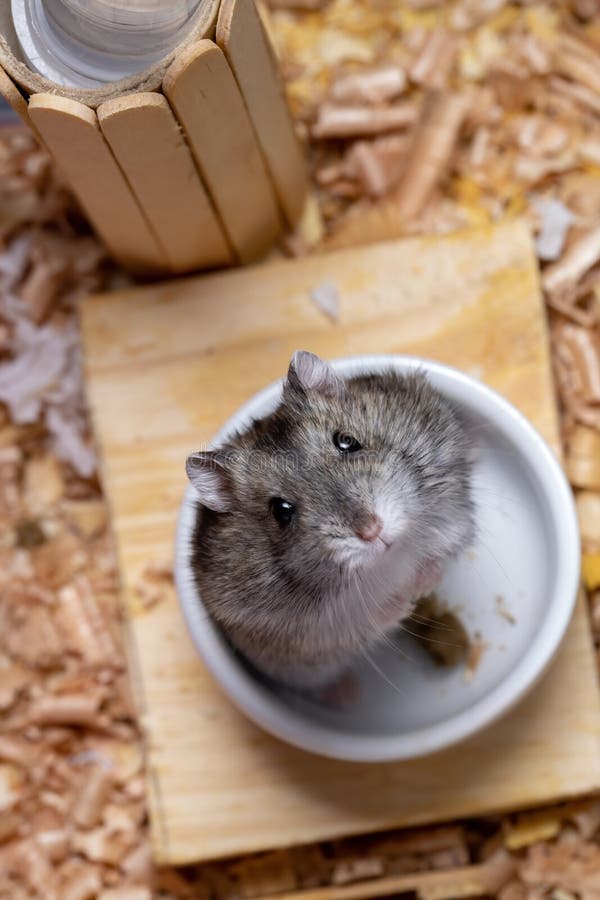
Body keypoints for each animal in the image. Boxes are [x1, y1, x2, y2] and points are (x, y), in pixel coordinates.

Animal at [186, 351, 475, 693]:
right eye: (281, 510)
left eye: (347, 441)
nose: (373, 531)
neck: (384, 562)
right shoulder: (302, 638)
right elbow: (363, 626)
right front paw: (404, 603)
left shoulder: (452, 505)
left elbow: (441, 548)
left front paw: (424, 580)